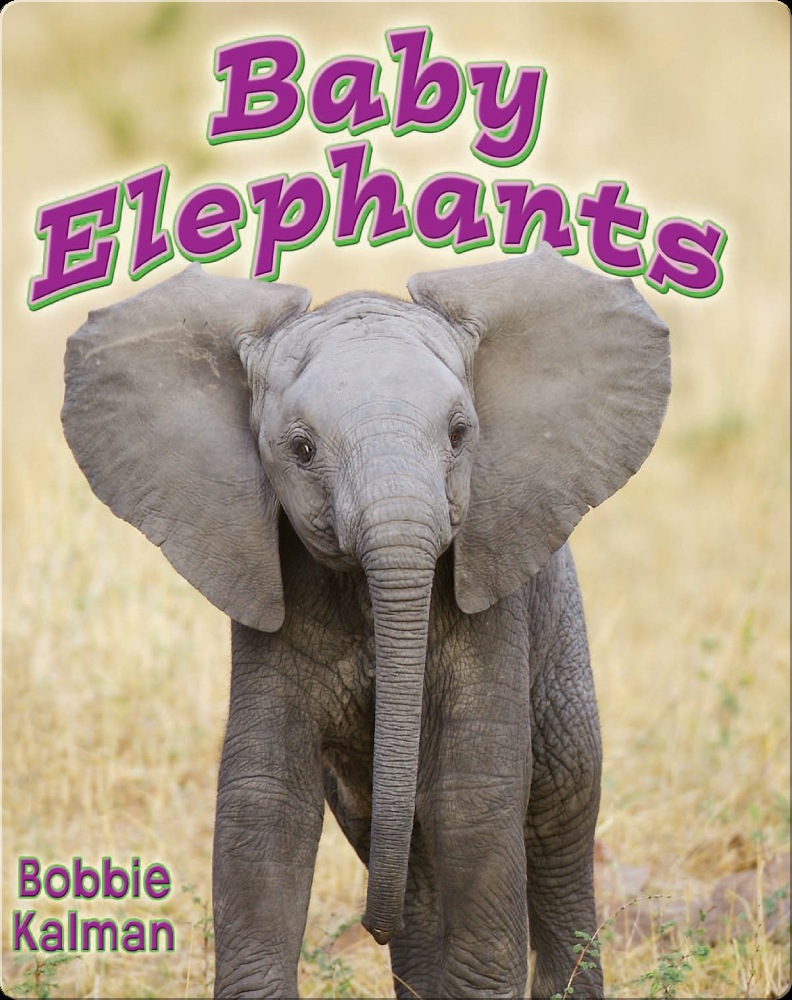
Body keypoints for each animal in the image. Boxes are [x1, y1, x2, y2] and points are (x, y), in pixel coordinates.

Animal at [61, 243, 670, 999]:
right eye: (301, 449)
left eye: (460, 435)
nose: (369, 927)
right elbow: (263, 802)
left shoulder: (493, 598)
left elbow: (473, 794)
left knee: (561, 803)